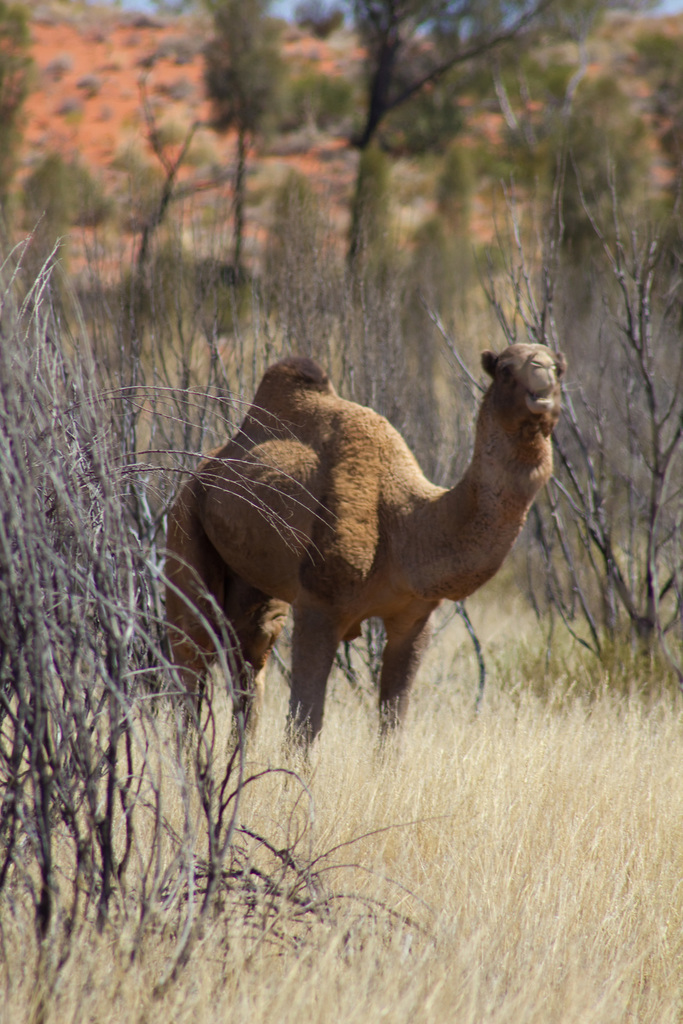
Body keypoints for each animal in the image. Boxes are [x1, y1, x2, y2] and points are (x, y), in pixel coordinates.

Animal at [165, 344, 566, 743]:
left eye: (558, 369)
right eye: (506, 369)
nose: (542, 383)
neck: (404, 523)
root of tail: (203, 469)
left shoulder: (415, 616)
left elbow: (393, 722)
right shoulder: (319, 606)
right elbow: (304, 722)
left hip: (254, 579)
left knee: (249, 656)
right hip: (185, 525)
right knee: (191, 654)